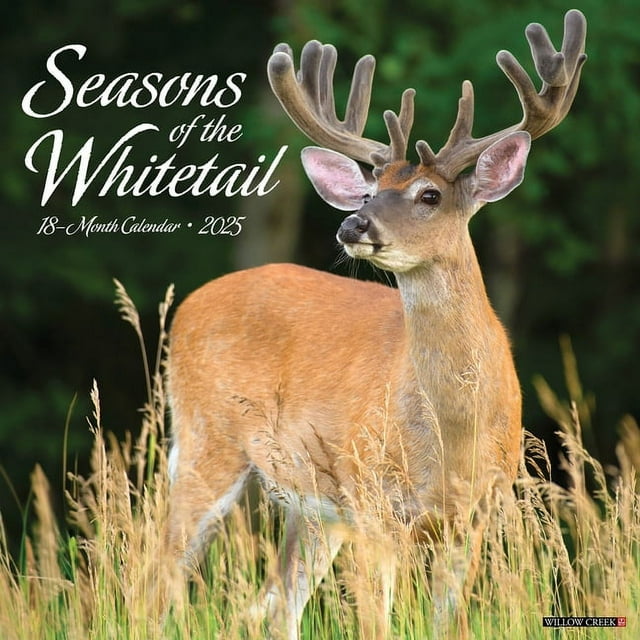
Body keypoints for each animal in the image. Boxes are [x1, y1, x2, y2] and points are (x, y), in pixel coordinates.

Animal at [163, 10, 586, 639]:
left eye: (429, 195)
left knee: (276, 605)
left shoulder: (474, 517)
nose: (352, 224)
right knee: (154, 573)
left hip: (311, 506)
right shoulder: (373, 505)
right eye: (367, 191)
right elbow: (375, 623)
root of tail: (188, 305)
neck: (452, 439)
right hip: (207, 437)